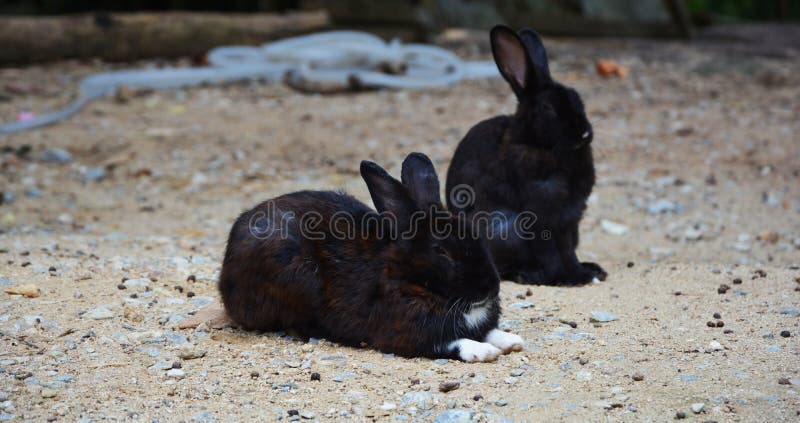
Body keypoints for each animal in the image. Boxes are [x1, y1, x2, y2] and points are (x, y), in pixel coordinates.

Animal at [219, 152, 524, 362]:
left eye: (475, 234)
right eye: (441, 250)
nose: (489, 288)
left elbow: (488, 330)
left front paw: (511, 340)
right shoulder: (406, 333)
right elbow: (451, 342)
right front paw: (483, 351)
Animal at [445, 25, 607, 286]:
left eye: (578, 98)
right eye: (547, 108)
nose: (584, 133)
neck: (539, 144)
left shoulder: (569, 220)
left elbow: (568, 252)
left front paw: (582, 273)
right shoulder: (542, 218)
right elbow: (551, 253)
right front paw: (568, 278)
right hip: (504, 227)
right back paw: (529, 275)